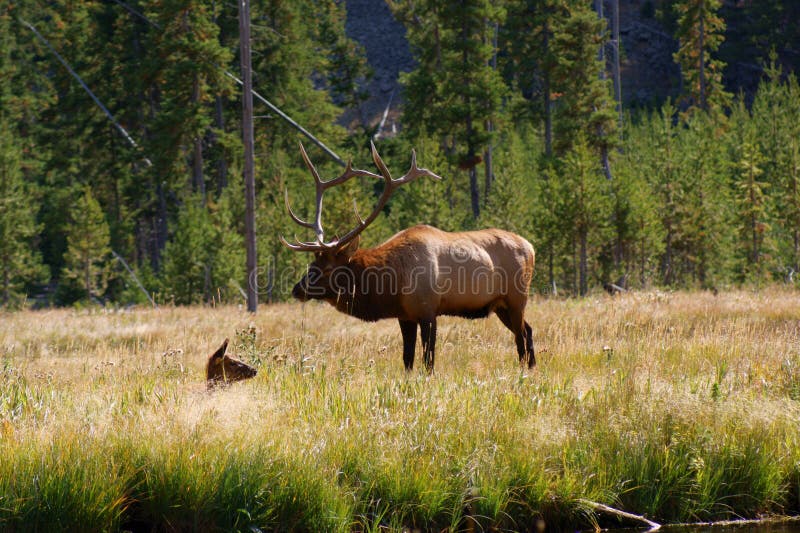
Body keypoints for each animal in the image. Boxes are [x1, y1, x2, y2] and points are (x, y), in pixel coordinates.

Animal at [281, 142, 536, 373]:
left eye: (326, 268)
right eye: (311, 264)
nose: (296, 289)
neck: (392, 284)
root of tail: (531, 247)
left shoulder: (428, 311)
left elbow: (428, 361)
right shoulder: (405, 316)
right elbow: (407, 360)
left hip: (517, 298)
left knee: (521, 336)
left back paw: (524, 369)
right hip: (501, 305)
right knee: (528, 330)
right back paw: (532, 368)